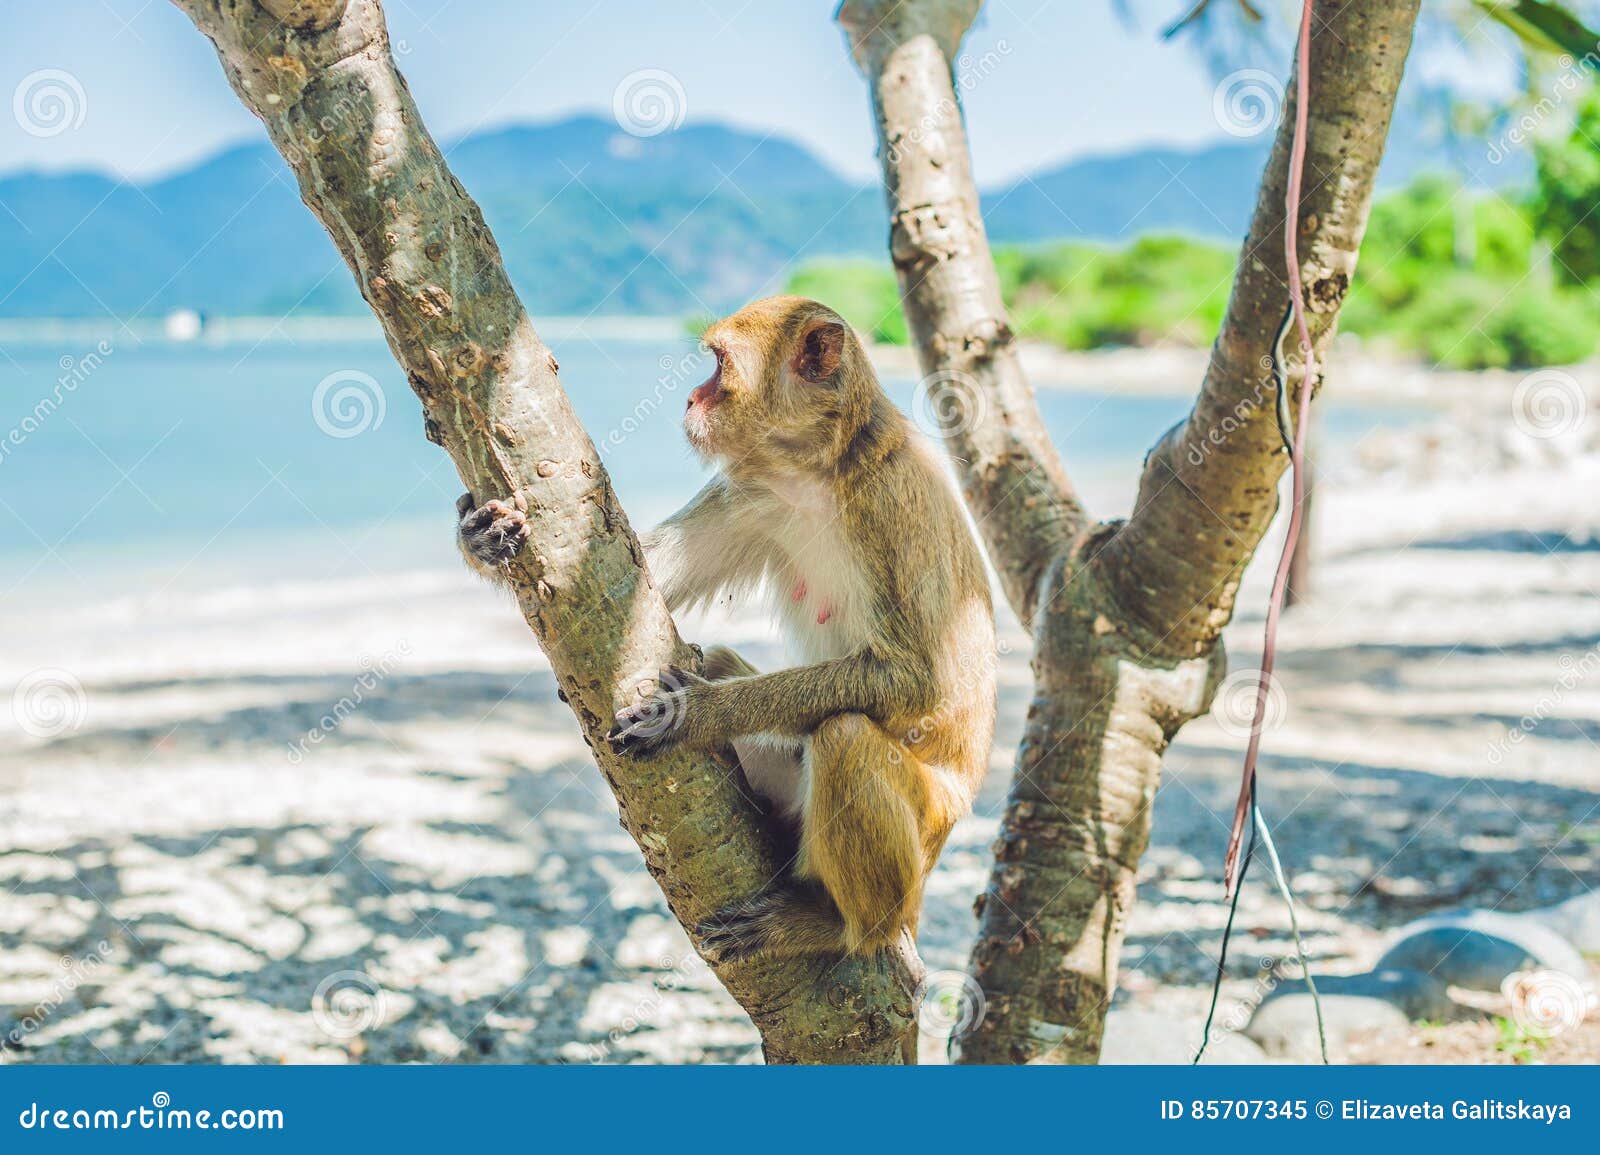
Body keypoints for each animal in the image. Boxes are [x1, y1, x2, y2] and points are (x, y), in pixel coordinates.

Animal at [456, 295, 996, 962]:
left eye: (718, 366)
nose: (691, 398)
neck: (816, 469)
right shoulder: (753, 492)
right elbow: (631, 574)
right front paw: (480, 536)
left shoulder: (887, 504)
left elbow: (915, 680)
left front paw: (696, 714)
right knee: (729, 671)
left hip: (927, 830)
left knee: (844, 736)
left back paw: (838, 927)